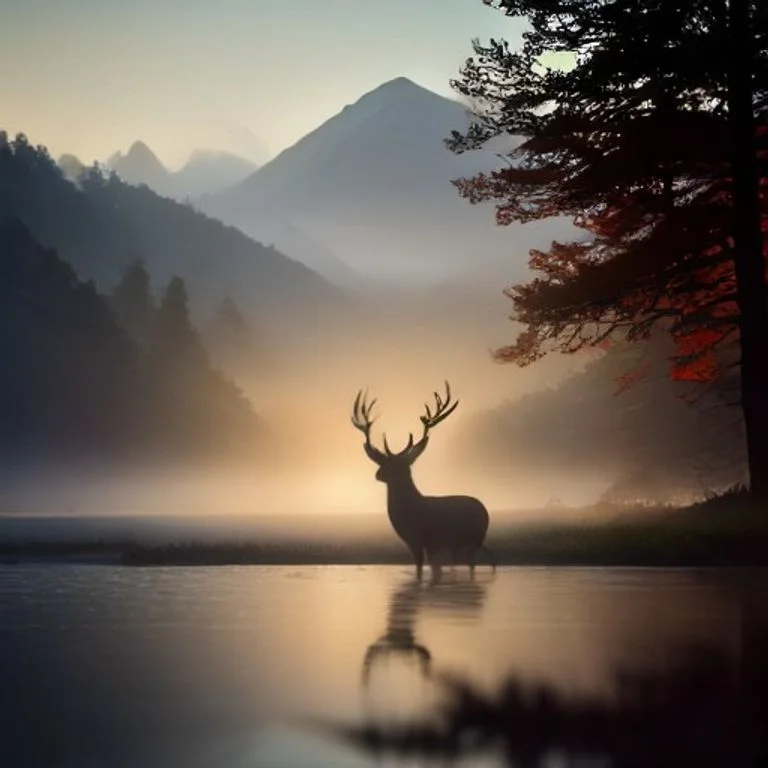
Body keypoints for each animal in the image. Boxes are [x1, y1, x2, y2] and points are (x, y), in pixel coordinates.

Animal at [351, 381, 496, 581]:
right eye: (384, 463)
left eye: (399, 466)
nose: (378, 474)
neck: (411, 511)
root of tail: (485, 513)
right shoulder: (424, 543)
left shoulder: (421, 540)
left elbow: (421, 566)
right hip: (471, 541)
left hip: (468, 540)